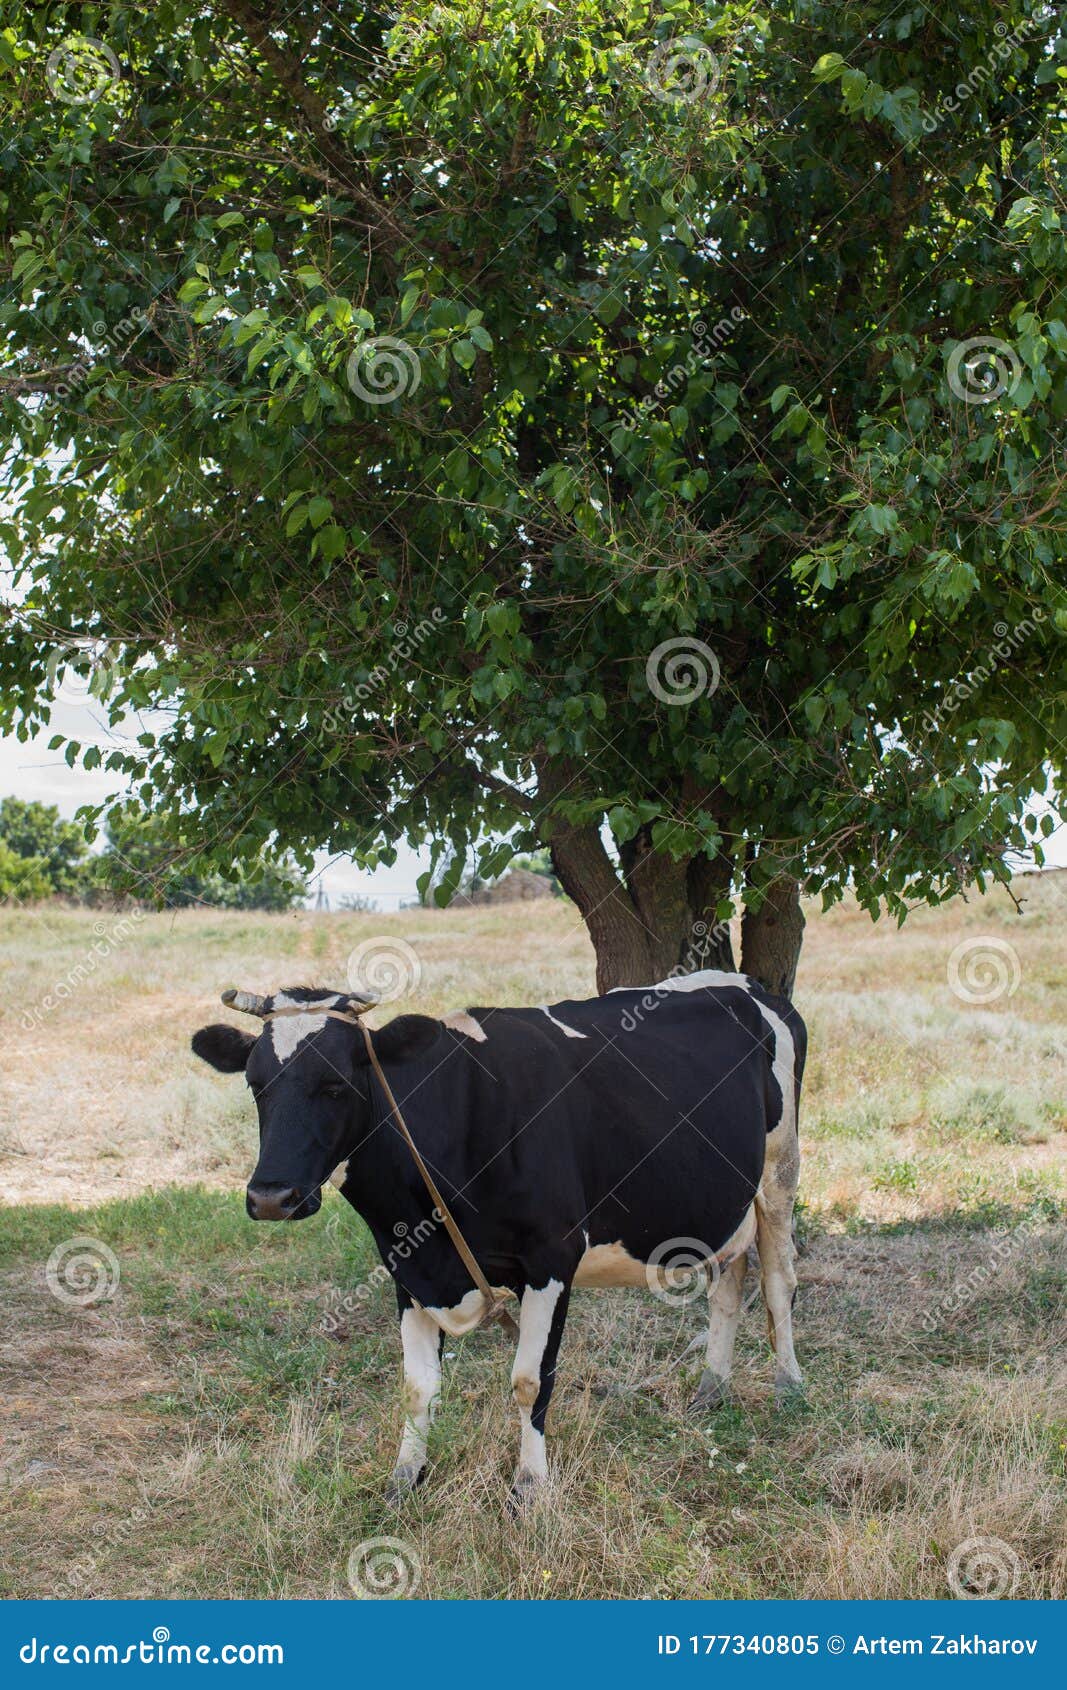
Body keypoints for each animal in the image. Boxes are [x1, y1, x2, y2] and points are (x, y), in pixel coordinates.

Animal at [191, 970, 806, 1507]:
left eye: (336, 1086)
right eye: (255, 1086)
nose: (271, 1197)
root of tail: (746, 983)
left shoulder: (552, 1258)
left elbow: (530, 1382)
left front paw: (529, 1488)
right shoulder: (407, 1267)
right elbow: (417, 1387)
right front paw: (405, 1478)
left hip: (779, 1174)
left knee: (779, 1282)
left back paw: (789, 1388)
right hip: (728, 1200)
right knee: (729, 1284)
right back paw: (711, 1389)